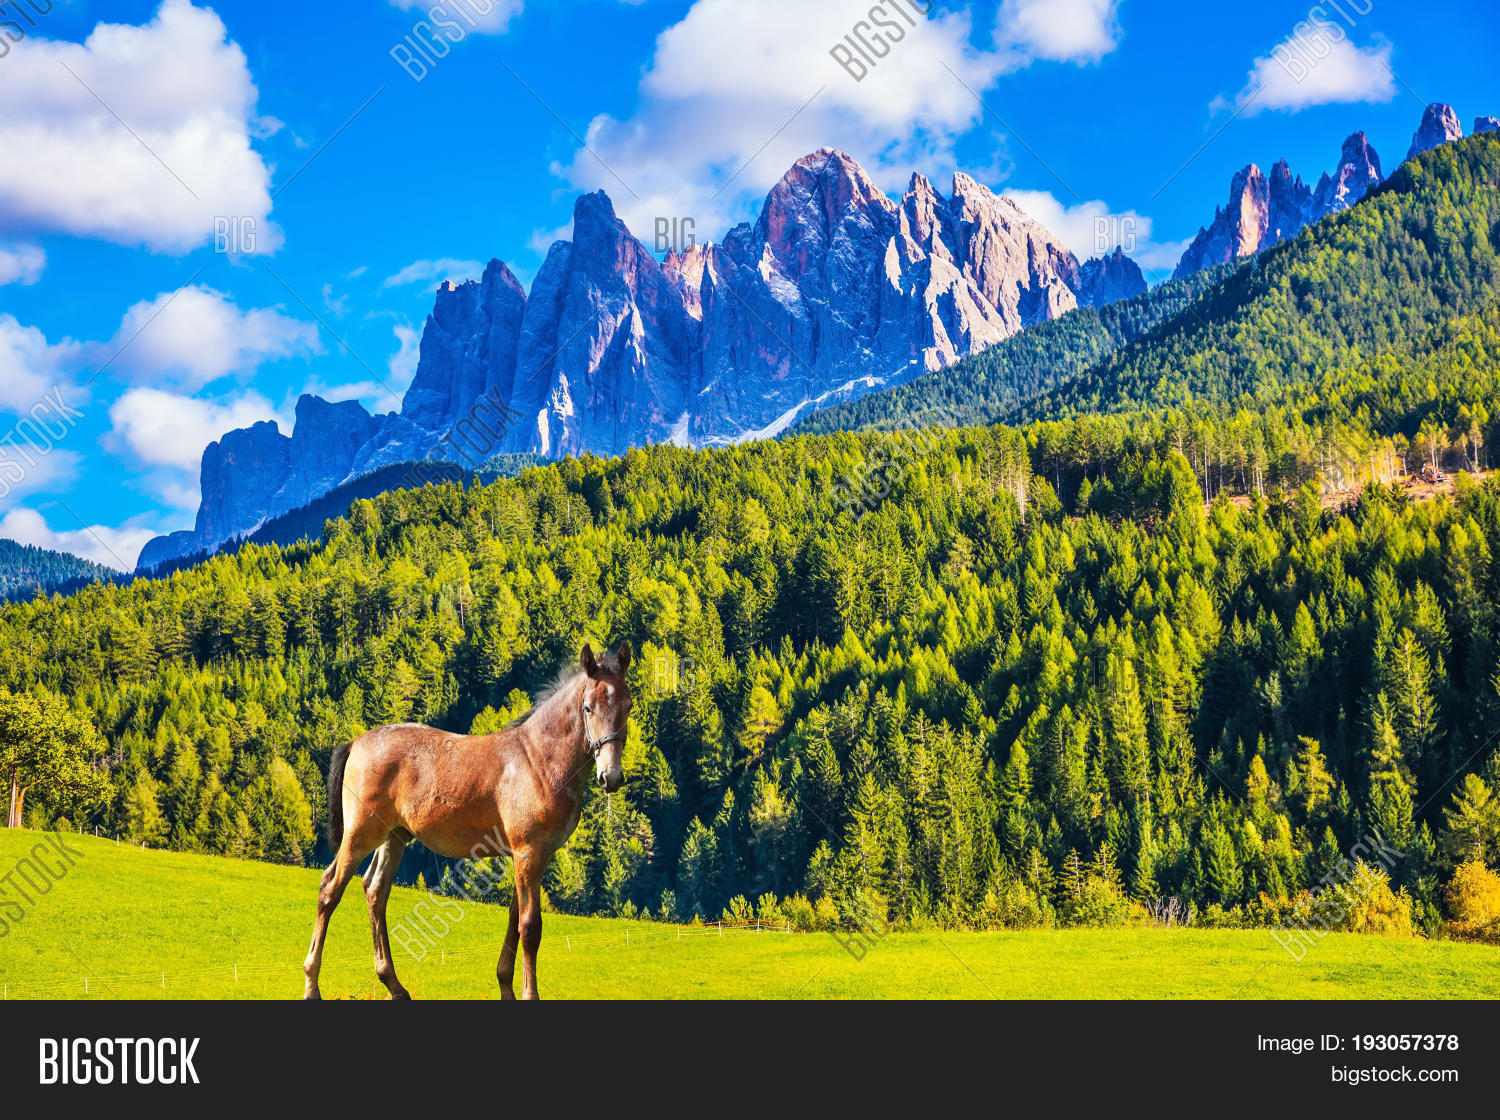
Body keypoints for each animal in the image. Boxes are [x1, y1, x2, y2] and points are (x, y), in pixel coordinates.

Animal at [302, 641, 632, 1000]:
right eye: (588, 708)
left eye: (628, 707)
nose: (610, 777)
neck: (539, 761)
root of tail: (356, 743)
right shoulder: (528, 852)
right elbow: (529, 927)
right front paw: (528, 994)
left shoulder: (533, 856)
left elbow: (514, 919)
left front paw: (506, 986)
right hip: (361, 834)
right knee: (329, 889)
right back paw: (311, 984)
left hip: (395, 836)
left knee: (375, 891)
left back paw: (394, 984)